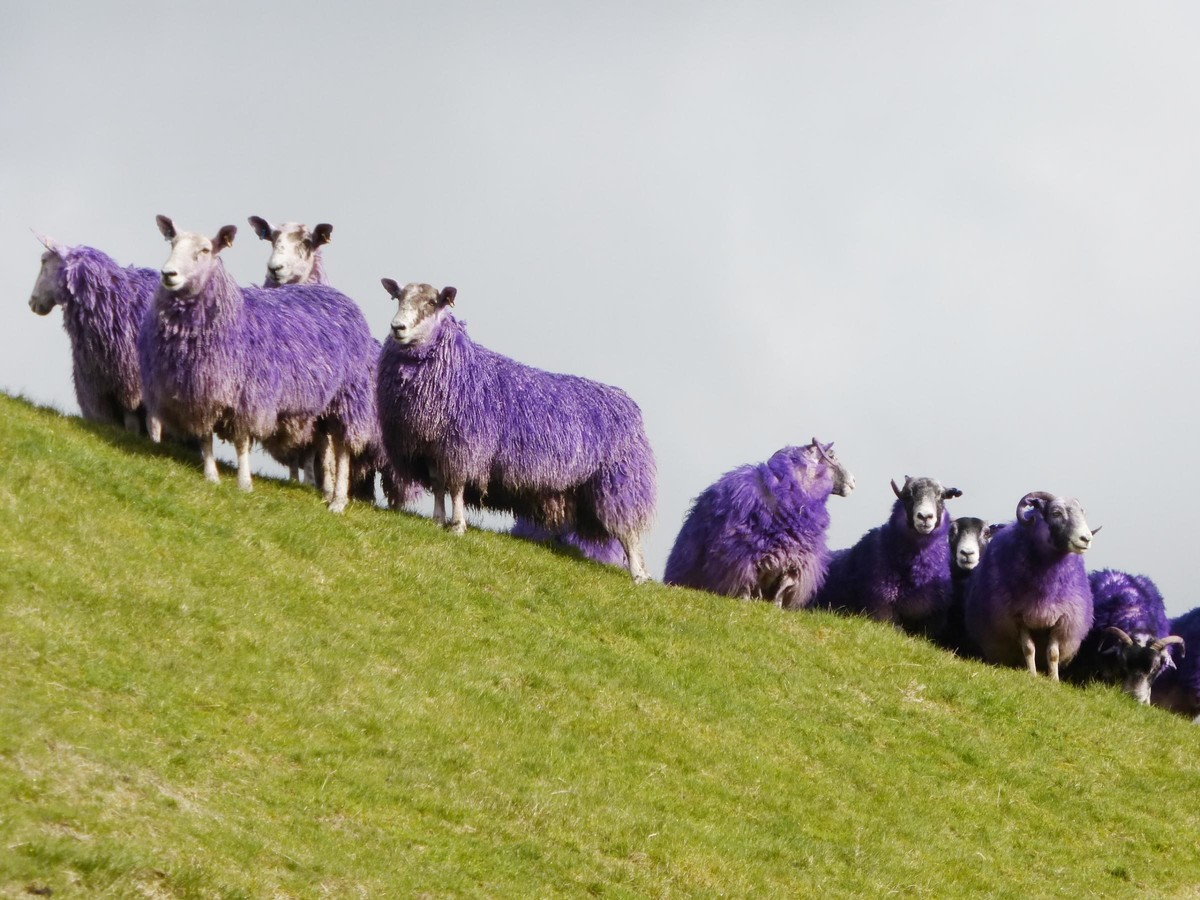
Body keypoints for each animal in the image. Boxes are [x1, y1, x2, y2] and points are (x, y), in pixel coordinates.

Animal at [139, 216, 378, 512]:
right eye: (172, 244)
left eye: (205, 250)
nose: (168, 274)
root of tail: (340, 297)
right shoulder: (200, 393)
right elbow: (205, 437)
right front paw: (211, 476)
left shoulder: (249, 396)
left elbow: (242, 442)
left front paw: (244, 483)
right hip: (322, 403)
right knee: (326, 443)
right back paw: (328, 492)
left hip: (349, 394)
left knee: (343, 448)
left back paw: (338, 501)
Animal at [375, 279, 656, 583]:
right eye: (399, 297)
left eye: (430, 303)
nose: (397, 327)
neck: (458, 367)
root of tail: (628, 404)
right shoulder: (429, 448)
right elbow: (439, 485)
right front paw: (438, 521)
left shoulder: (462, 446)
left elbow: (456, 487)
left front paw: (458, 526)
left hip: (619, 480)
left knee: (628, 529)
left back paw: (638, 574)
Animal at [662, 440, 855, 608]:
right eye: (832, 456)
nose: (854, 481)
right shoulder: (744, 560)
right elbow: (746, 590)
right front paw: (745, 605)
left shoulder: (793, 565)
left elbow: (779, 595)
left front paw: (775, 609)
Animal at [964, 491, 1097, 680]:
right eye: (1056, 513)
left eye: (1082, 513)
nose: (1086, 539)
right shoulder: (1018, 617)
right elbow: (1028, 648)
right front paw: (1032, 675)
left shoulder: (1060, 620)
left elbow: (1053, 653)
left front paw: (1054, 680)